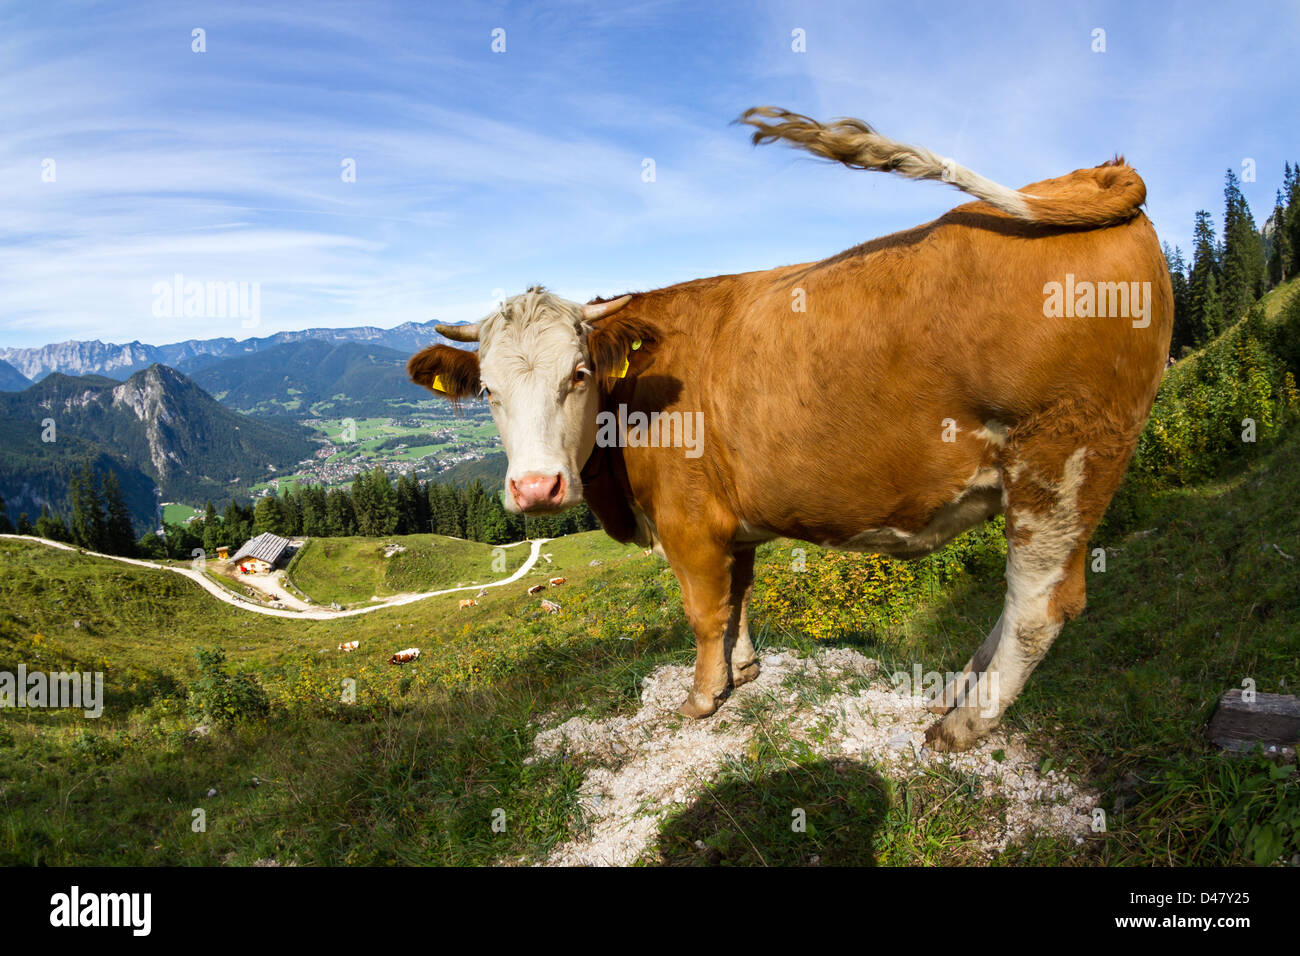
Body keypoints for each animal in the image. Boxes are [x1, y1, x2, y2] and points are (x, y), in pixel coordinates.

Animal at [407, 107, 1172, 751]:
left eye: (578, 373)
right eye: (490, 391)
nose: (537, 489)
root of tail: (1091, 175)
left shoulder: (688, 520)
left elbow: (704, 611)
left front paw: (703, 695)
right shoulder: (733, 520)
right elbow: (741, 594)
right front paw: (742, 670)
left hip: (1063, 458)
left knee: (1040, 604)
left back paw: (965, 723)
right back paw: (956, 689)